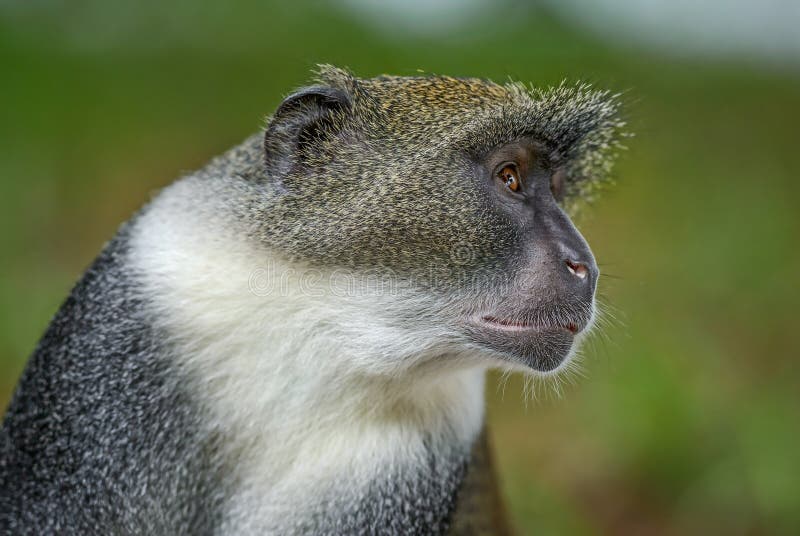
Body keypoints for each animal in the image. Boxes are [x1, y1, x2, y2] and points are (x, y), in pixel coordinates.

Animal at [0, 65, 624, 535]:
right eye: (511, 177)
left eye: (556, 186)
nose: (584, 266)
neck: (321, 325)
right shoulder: (132, 314)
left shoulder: (406, 459)